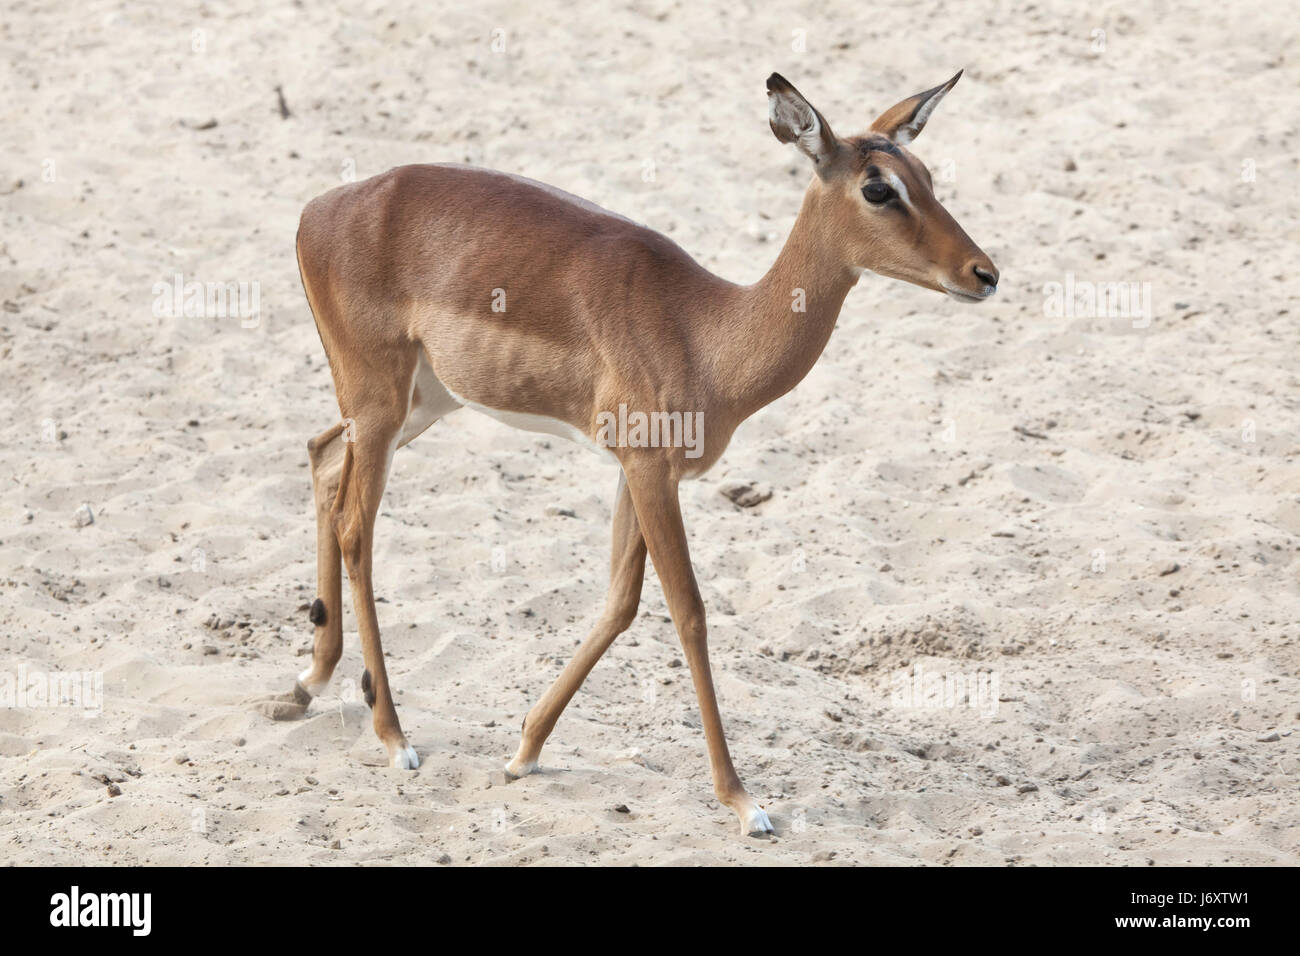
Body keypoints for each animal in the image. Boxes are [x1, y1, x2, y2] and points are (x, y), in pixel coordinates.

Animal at [252, 71, 998, 836]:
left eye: (927, 173)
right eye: (878, 188)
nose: (984, 273)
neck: (707, 332)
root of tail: (322, 208)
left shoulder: (637, 474)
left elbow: (619, 601)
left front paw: (524, 751)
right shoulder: (650, 472)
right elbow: (688, 612)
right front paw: (744, 802)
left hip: (418, 403)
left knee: (321, 458)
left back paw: (307, 684)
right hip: (381, 403)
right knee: (356, 528)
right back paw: (394, 736)